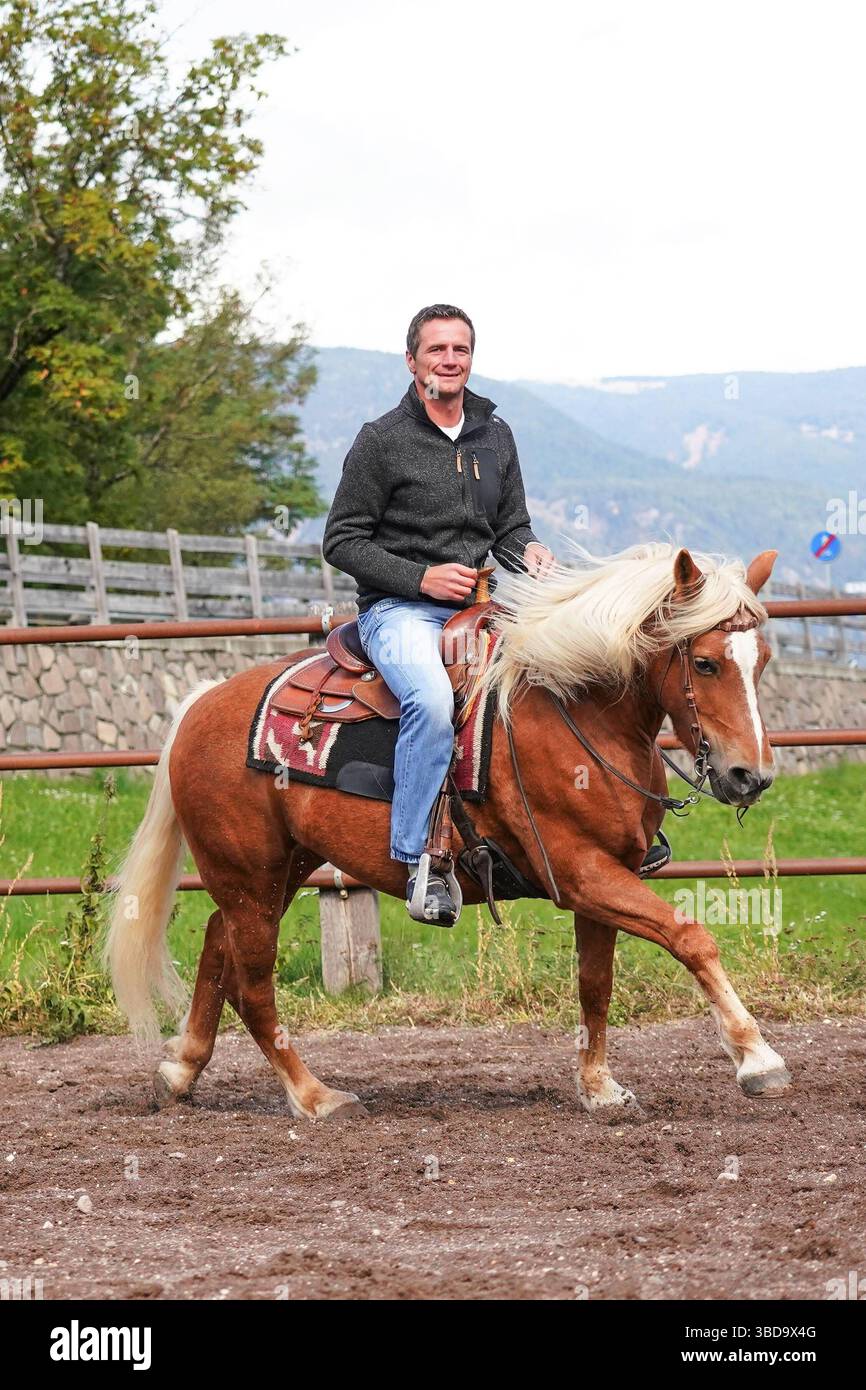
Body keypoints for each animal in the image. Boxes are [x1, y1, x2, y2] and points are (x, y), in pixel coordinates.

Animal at [104, 541, 792, 1119]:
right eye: (704, 663)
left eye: (761, 661)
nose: (750, 776)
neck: (576, 711)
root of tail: (202, 702)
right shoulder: (580, 872)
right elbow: (691, 937)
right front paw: (757, 1059)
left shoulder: (605, 876)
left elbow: (595, 984)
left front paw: (599, 1088)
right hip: (248, 876)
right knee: (252, 985)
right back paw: (314, 1095)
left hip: (277, 869)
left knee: (217, 943)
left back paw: (180, 1071)